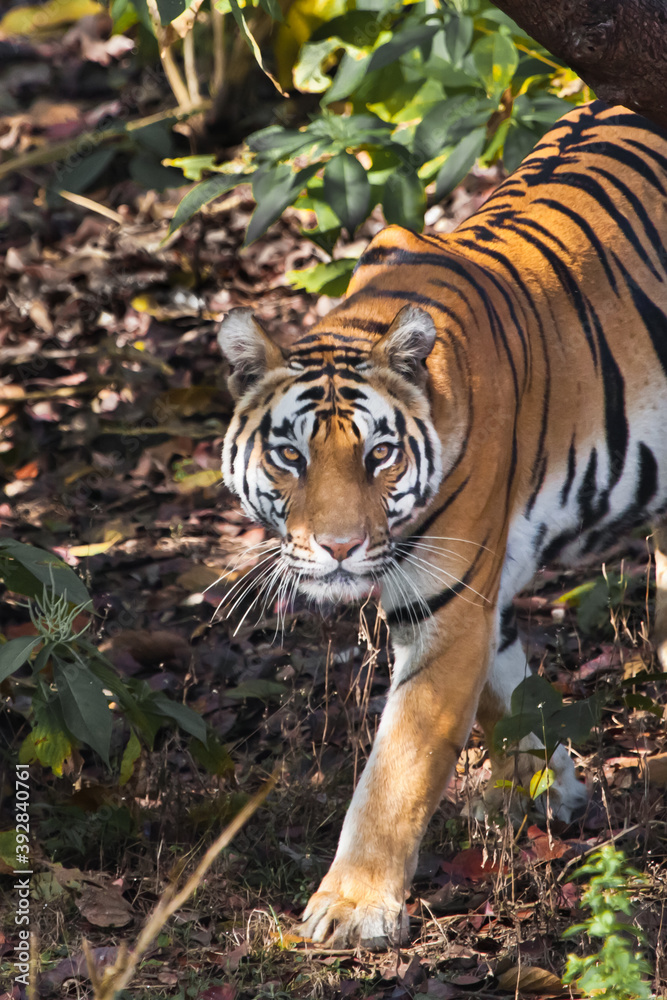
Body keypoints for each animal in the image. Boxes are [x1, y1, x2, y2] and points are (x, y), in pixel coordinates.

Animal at [217, 101, 667, 950]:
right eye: (290, 454)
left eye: (379, 454)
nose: (338, 547)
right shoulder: (476, 597)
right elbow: (509, 696)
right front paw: (548, 790)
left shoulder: (446, 603)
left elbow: (399, 764)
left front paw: (353, 906)